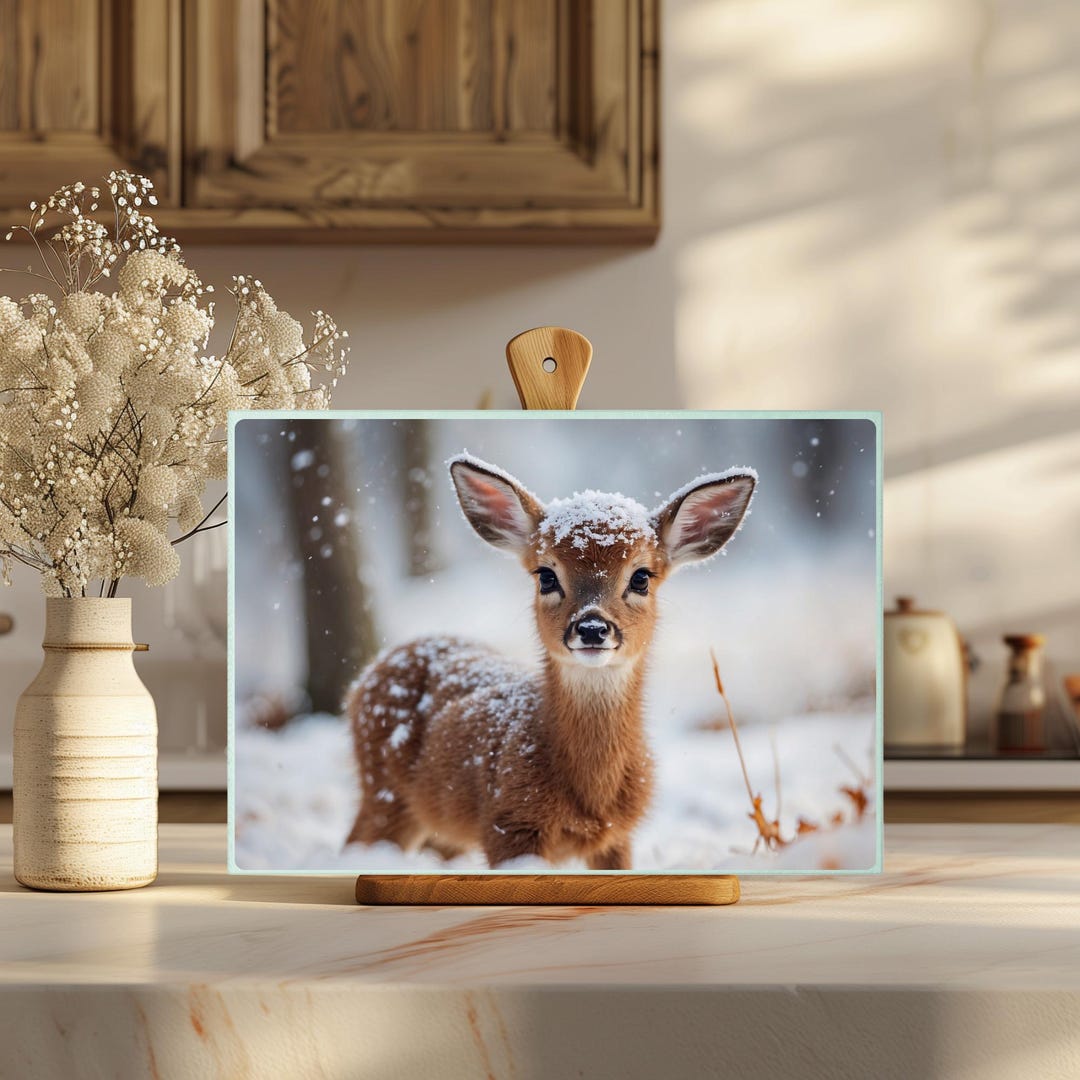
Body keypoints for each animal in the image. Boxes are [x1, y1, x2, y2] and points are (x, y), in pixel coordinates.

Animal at [343, 453, 757, 870]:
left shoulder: (617, 837)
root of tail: (374, 670)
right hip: (384, 790)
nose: (591, 628)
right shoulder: (508, 822)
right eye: (546, 575)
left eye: (641, 577)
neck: (590, 794)